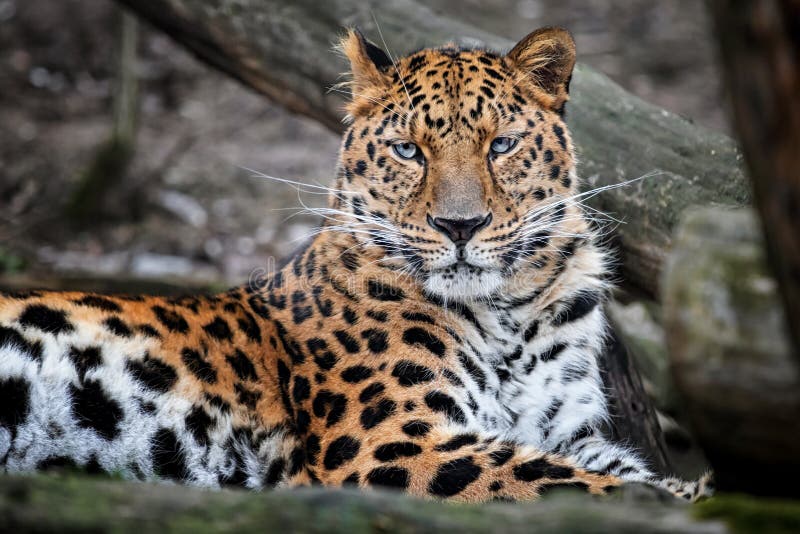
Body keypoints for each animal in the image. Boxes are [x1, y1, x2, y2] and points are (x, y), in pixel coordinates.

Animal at [0, 27, 712, 503]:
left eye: (502, 145)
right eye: (408, 150)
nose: (460, 226)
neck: (509, 314)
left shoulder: (568, 431)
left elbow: (617, 473)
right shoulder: (392, 444)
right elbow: (580, 486)